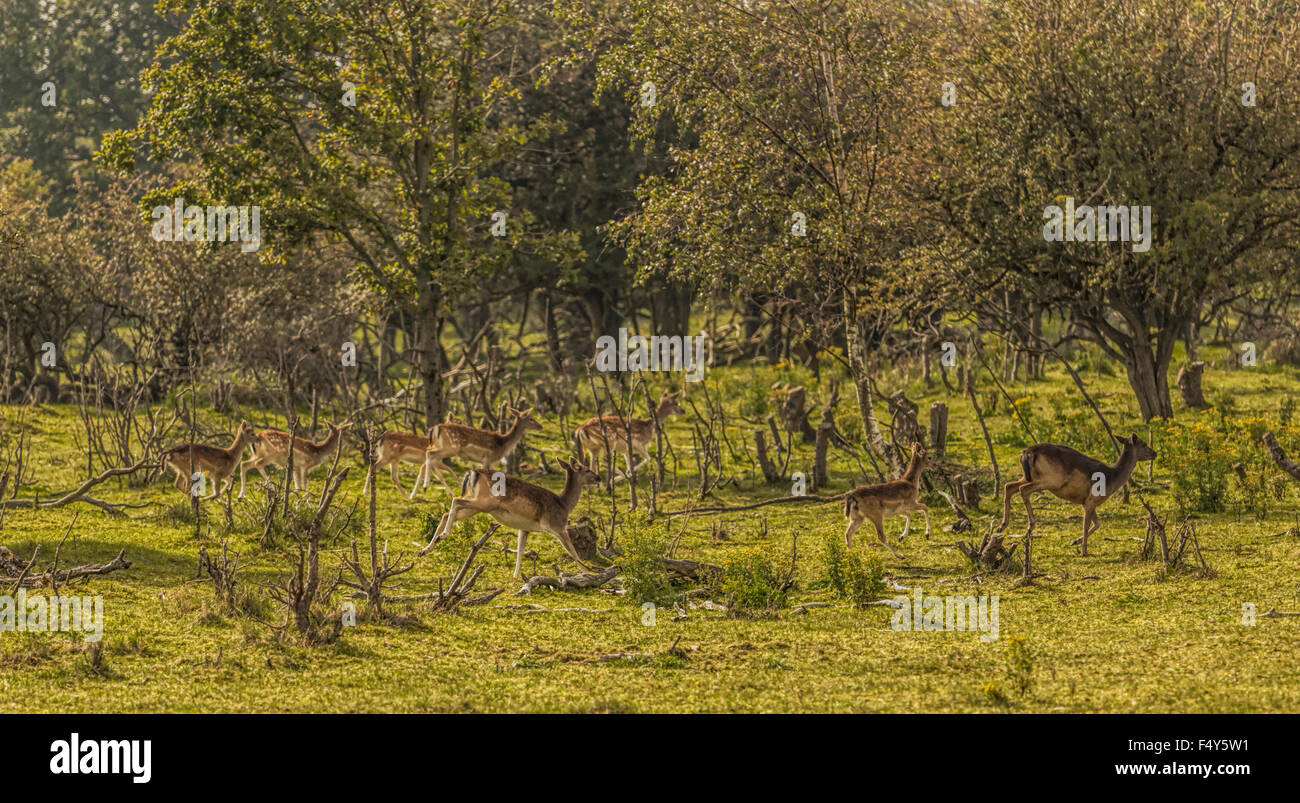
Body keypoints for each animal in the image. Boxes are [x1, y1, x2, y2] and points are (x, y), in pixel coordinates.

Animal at [418, 459, 600, 578]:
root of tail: (472, 473)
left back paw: (425, 549)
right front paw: (589, 574)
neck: (564, 504)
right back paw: (443, 536)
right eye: (585, 468)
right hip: (484, 502)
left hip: (475, 504)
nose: (598, 477)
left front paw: (516, 576)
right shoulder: (558, 526)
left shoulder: (525, 528)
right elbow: (573, 553)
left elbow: (520, 550)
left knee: (447, 512)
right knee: (455, 501)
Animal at [998, 433, 1157, 556]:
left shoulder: (1086, 501)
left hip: (1029, 476)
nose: (1154, 453)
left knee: (1009, 486)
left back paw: (1002, 525)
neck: (1112, 479)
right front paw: (1084, 551)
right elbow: (1086, 525)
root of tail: (1027, 452)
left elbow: (1097, 523)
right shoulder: (1091, 499)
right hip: (1051, 479)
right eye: (1143, 444)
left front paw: (1075, 541)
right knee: (1023, 489)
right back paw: (1030, 526)